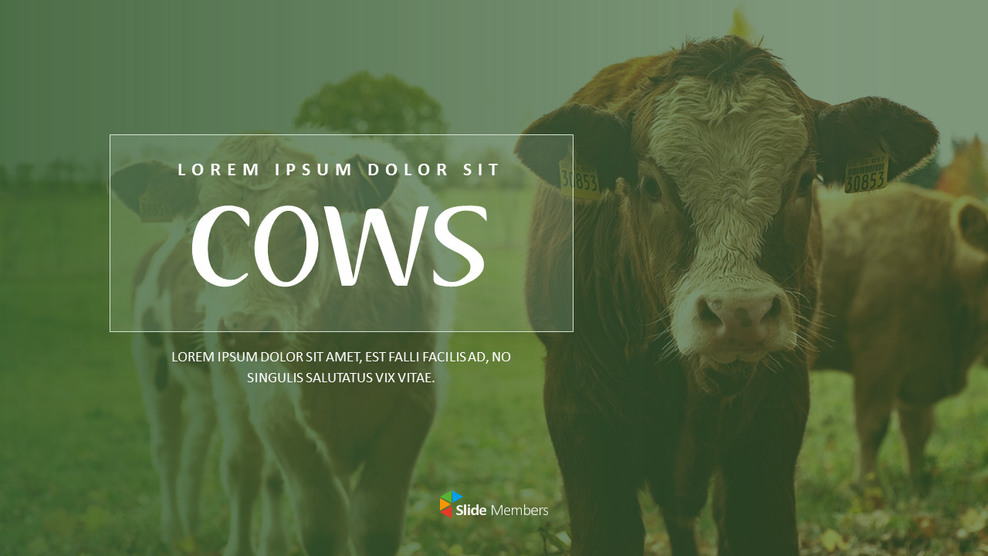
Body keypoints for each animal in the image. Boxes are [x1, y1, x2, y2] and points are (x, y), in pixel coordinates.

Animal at [113, 136, 448, 556]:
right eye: (201, 231)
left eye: (307, 228)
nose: (244, 328)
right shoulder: (277, 411)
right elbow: (321, 523)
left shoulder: (414, 406)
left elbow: (375, 523)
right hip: (157, 364)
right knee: (192, 455)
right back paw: (178, 531)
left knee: (201, 448)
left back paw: (200, 529)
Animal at [814, 183, 988, 490]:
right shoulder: (878, 352)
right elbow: (872, 424)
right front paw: (865, 486)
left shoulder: (919, 361)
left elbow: (918, 429)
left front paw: (917, 483)